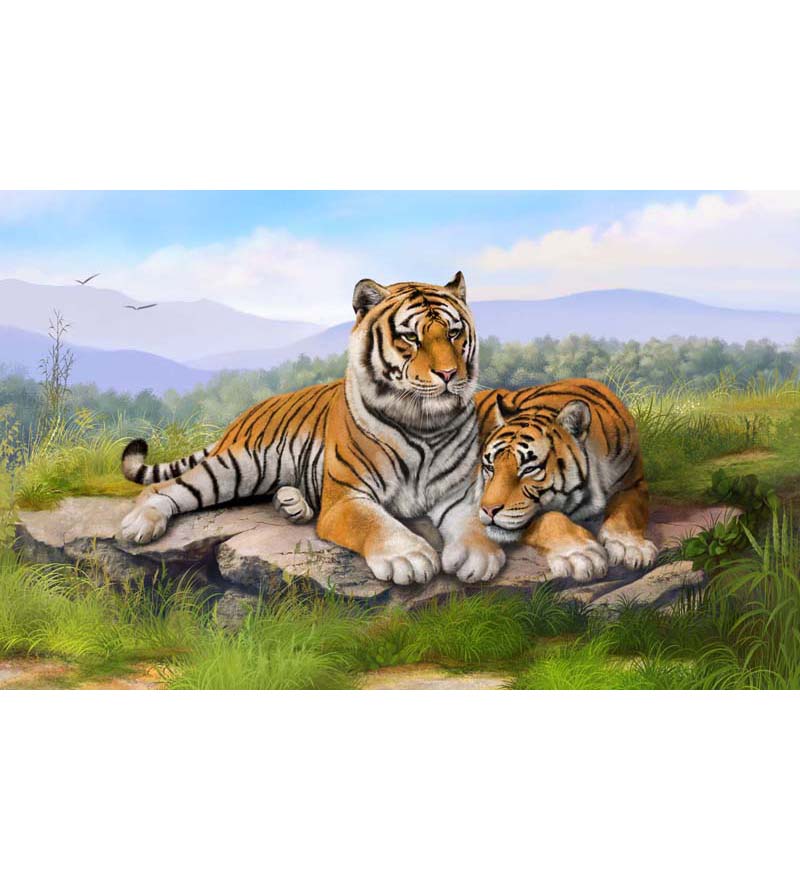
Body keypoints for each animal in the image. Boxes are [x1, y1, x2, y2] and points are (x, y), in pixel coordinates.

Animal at [119, 272, 505, 587]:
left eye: (454, 333)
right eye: (410, 337)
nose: (448, 374)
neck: (425, 425)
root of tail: (246, 413)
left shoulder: (459, 492)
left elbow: (474, 521)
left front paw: (479, 556)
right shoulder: (348, 498)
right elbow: (376, 523)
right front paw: (408, 557)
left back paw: (292, 503)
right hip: (235, 468)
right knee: (163, 488)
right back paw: (139, 524)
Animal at [474, 379, 657, 582]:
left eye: (529, 469)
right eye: (490, 467)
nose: (488, 510)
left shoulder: (634, 484)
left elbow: (626, 512)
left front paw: (630, 547)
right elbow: (550, 517)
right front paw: (581, 554)